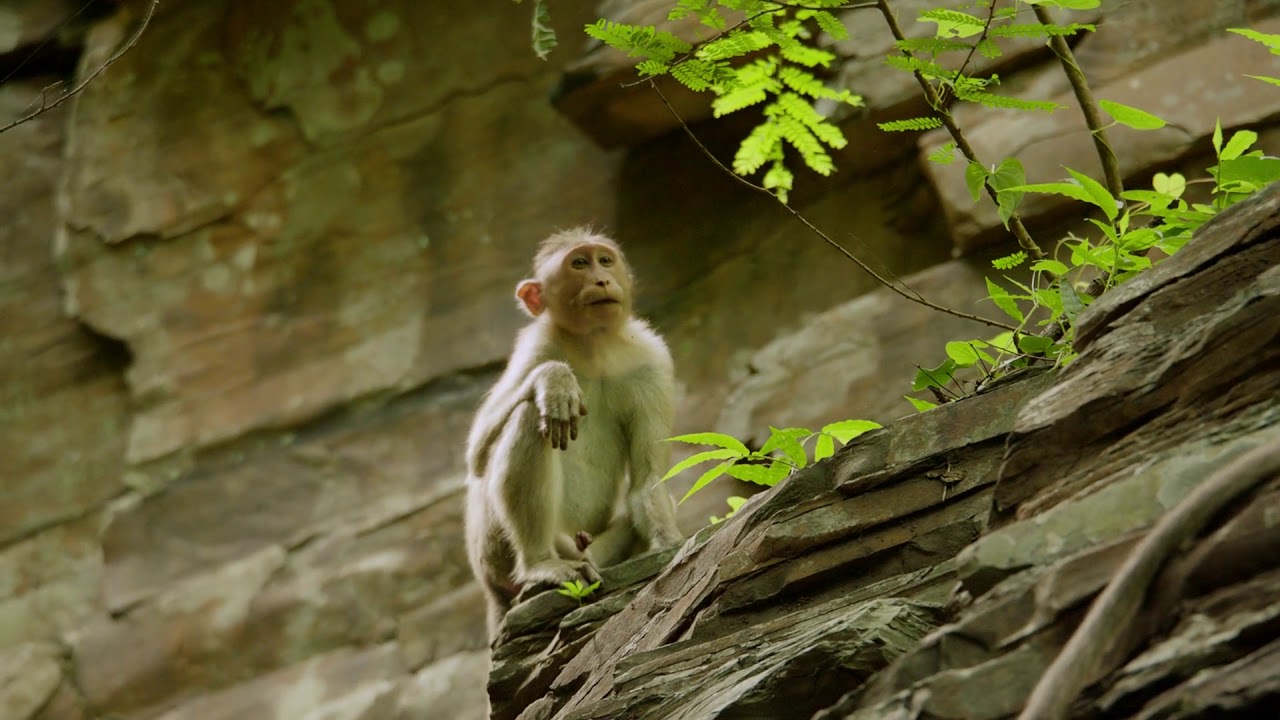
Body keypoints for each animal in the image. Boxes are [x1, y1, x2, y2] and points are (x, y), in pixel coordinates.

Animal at [464, 227, 684, 641]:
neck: (593, 346)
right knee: (529, 415)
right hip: (496, 552)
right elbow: (478, 456)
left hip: (596, 550)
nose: (601, 279)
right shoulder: (537, 344)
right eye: (579, 263)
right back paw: (540, 565)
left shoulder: (652, 360)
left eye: (605, 260)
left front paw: (670, 544)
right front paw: (555, 379)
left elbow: (647, 479)